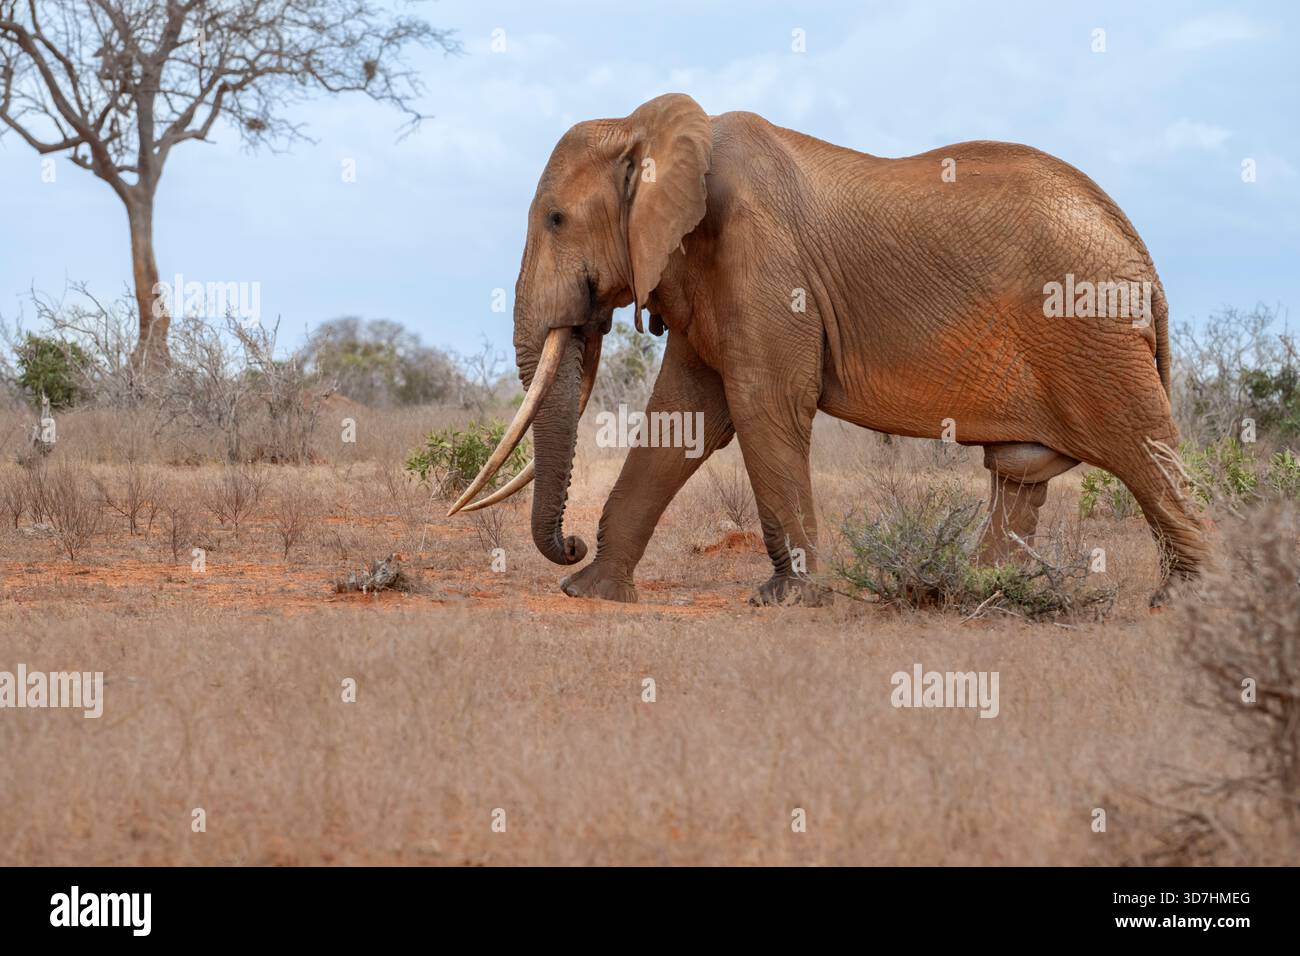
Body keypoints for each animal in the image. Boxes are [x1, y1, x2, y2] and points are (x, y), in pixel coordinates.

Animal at [448, 93, 1207, 608]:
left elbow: (763, 406)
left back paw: (1183, 604)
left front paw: (787, 601)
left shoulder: (763, 261)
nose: (569, 542)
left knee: (1143, 453)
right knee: (1022, 470)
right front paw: (592, 591)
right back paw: (976, 592)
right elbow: (684, 419)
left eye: (555, 219)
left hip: (1090, 331)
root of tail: (1143, 254)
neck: (646, 126)